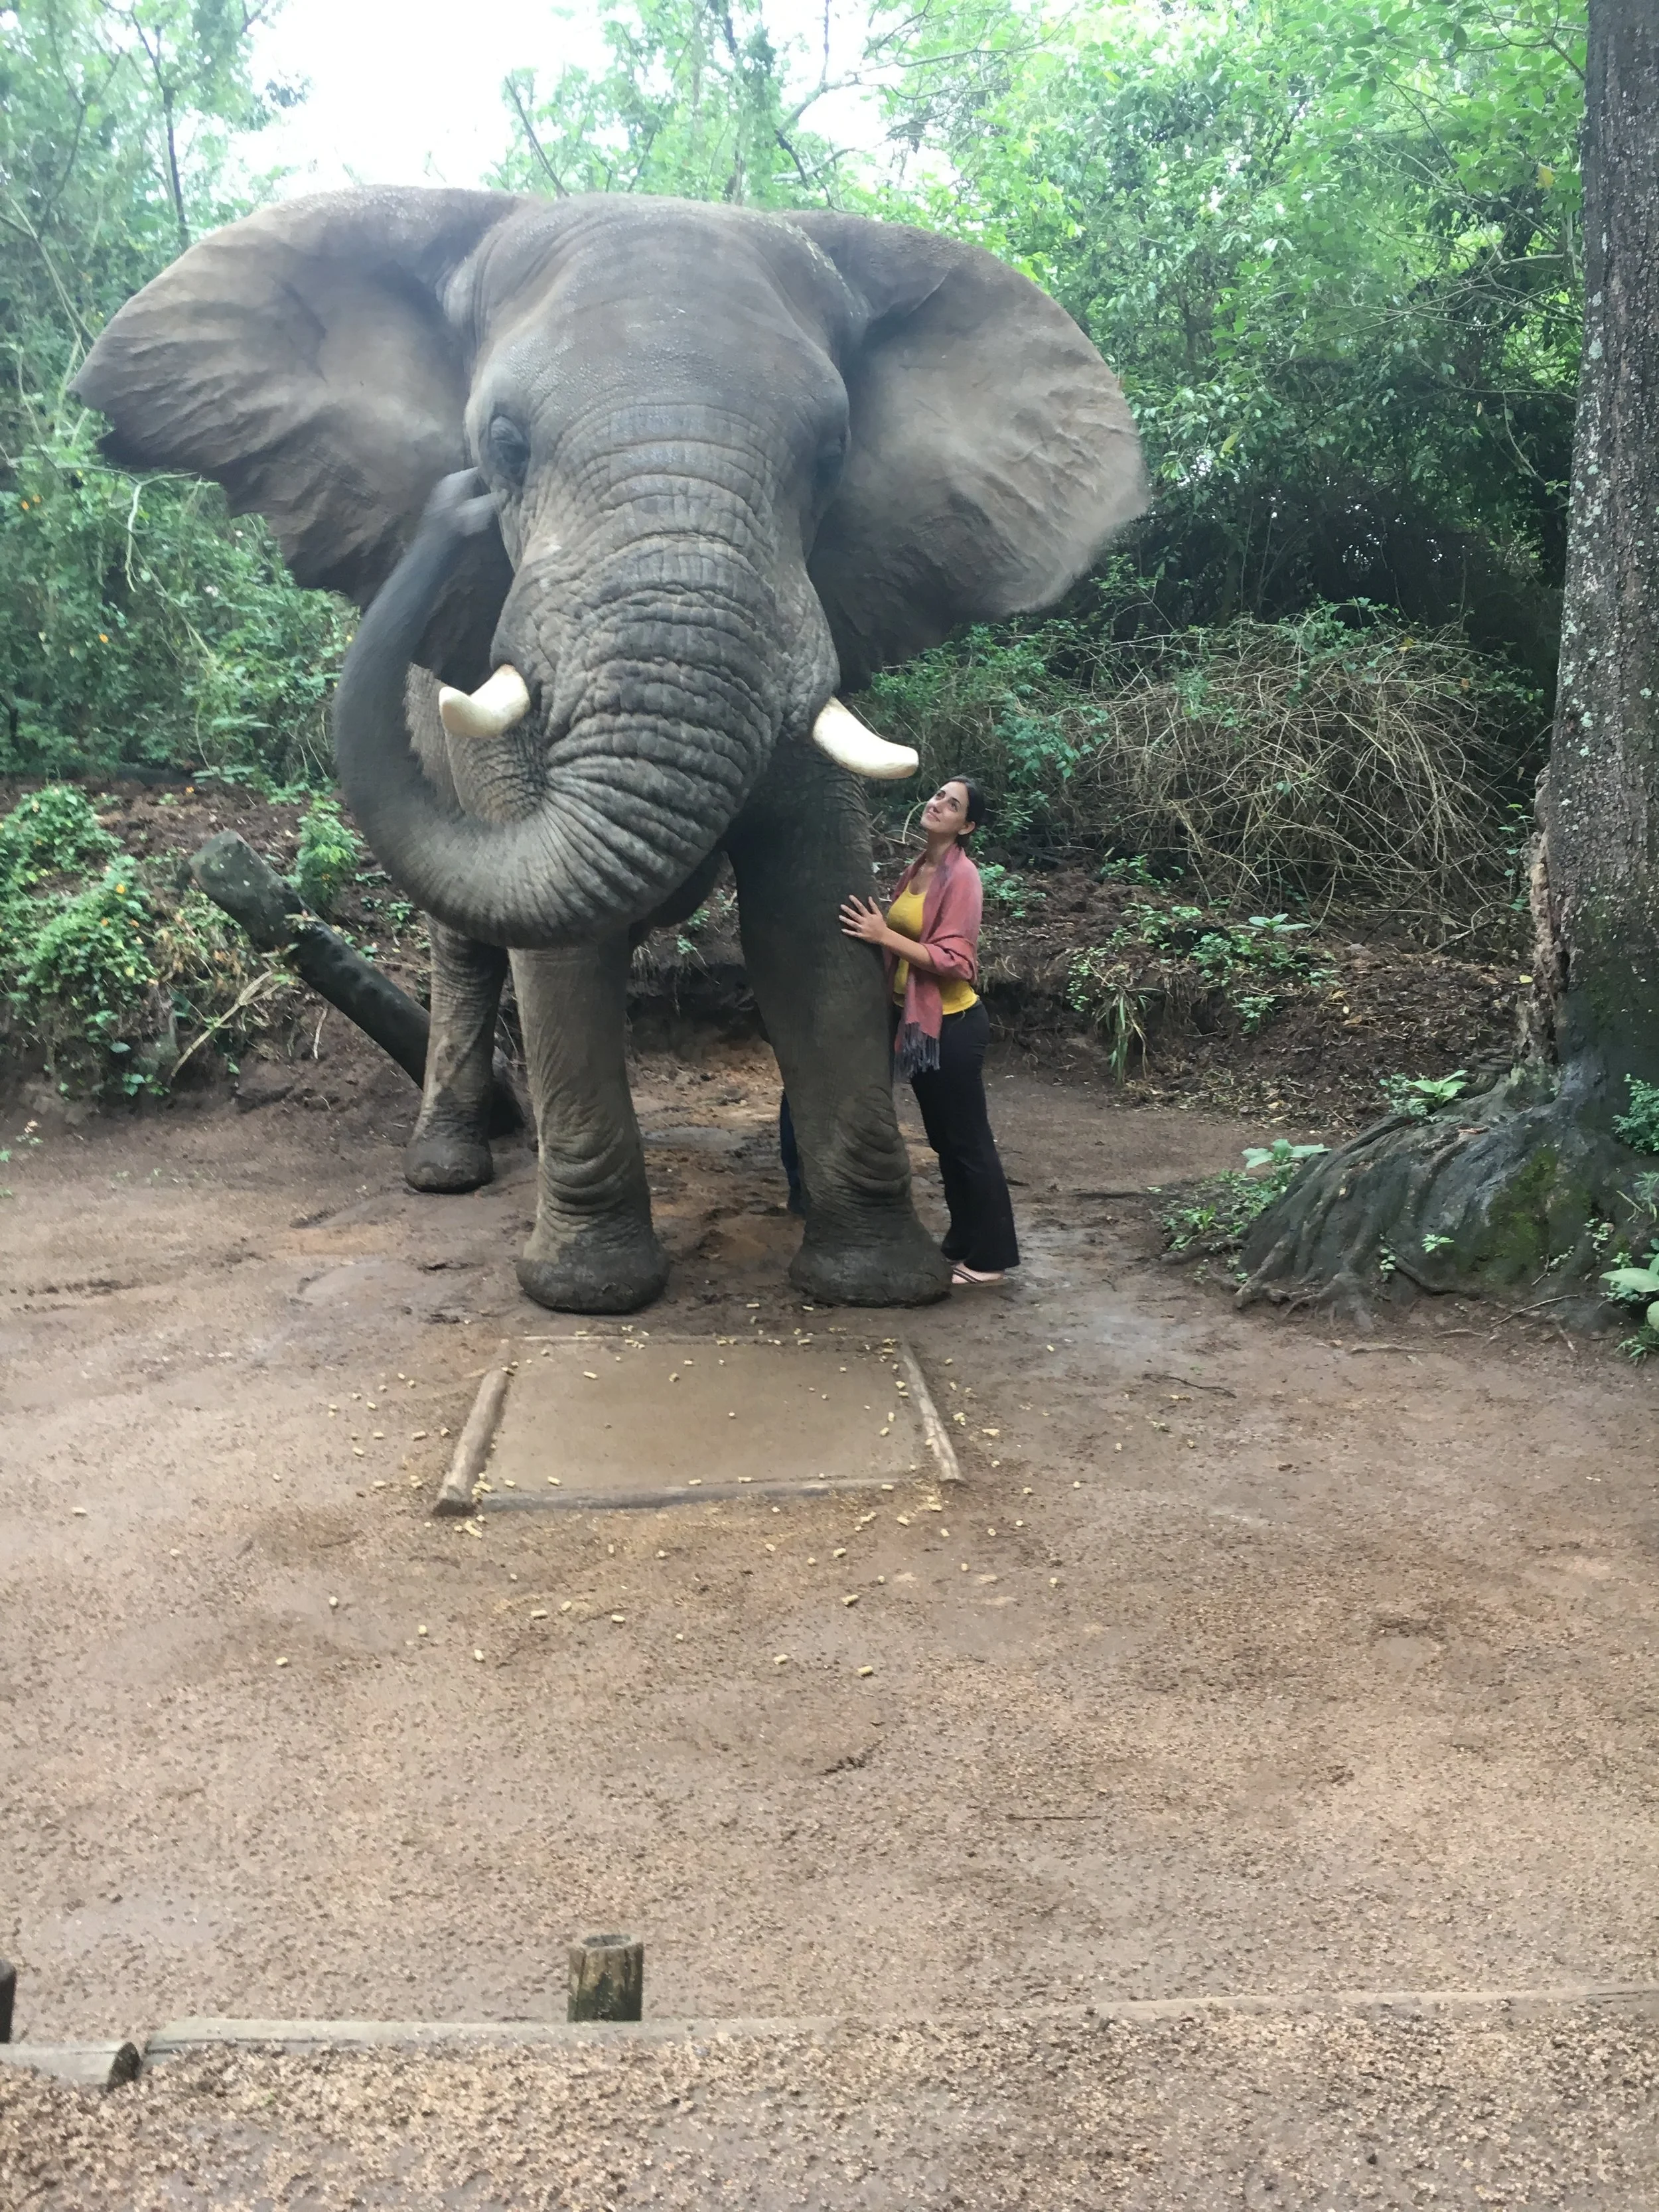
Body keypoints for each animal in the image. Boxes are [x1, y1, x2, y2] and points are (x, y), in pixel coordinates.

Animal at [75, 189, 1147, 1314]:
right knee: (471, 940)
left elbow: (808, 920)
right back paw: (451, 1170)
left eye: (830, 456)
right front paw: (589, 1292)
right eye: (503, 443)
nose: (455, 501)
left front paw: (878, 1287)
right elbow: (562, 945)